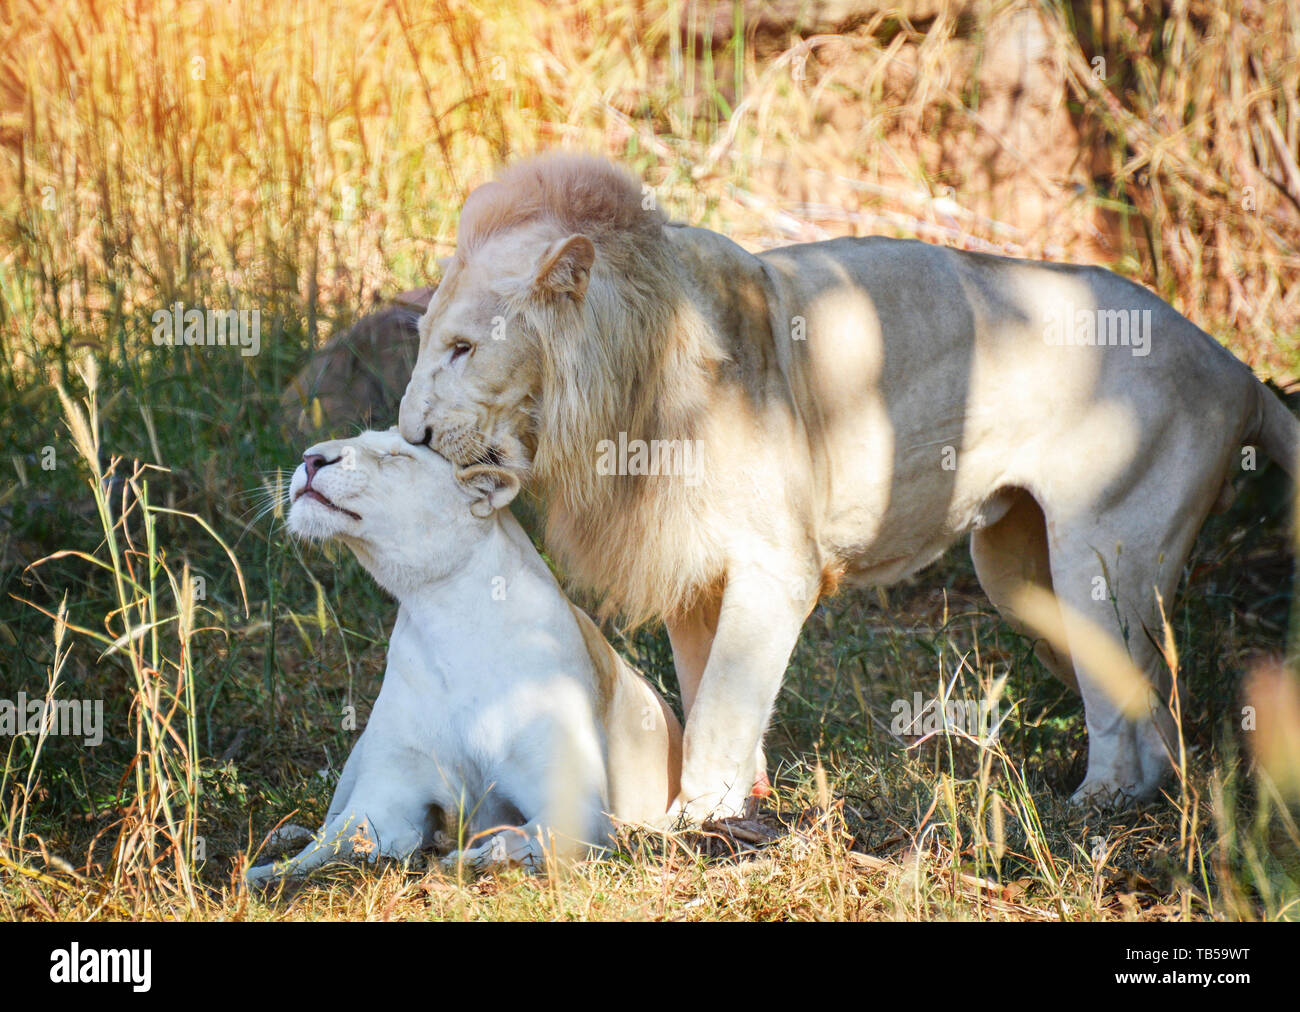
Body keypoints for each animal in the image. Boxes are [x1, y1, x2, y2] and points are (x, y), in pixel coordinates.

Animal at [246, 428, 681, 883]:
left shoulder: (576, 809)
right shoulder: (382, 796)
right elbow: (324, 849)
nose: (310, 459)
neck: (445, 620)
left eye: (396, 455)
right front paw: (259, 876)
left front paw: (459, 859)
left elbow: (517, 839)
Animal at [397, 152, 1298, 820]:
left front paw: (700, 817)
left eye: (464, 348)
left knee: (1136, 691)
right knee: (1153, 700)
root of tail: (1235, 368)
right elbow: (706, 683)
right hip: (1016, 571)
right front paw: (739, 801)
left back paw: (1097, 801)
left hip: (1104, 548)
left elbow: (723, 699)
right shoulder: (691, 566)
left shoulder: (775, 566)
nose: (411, 436)